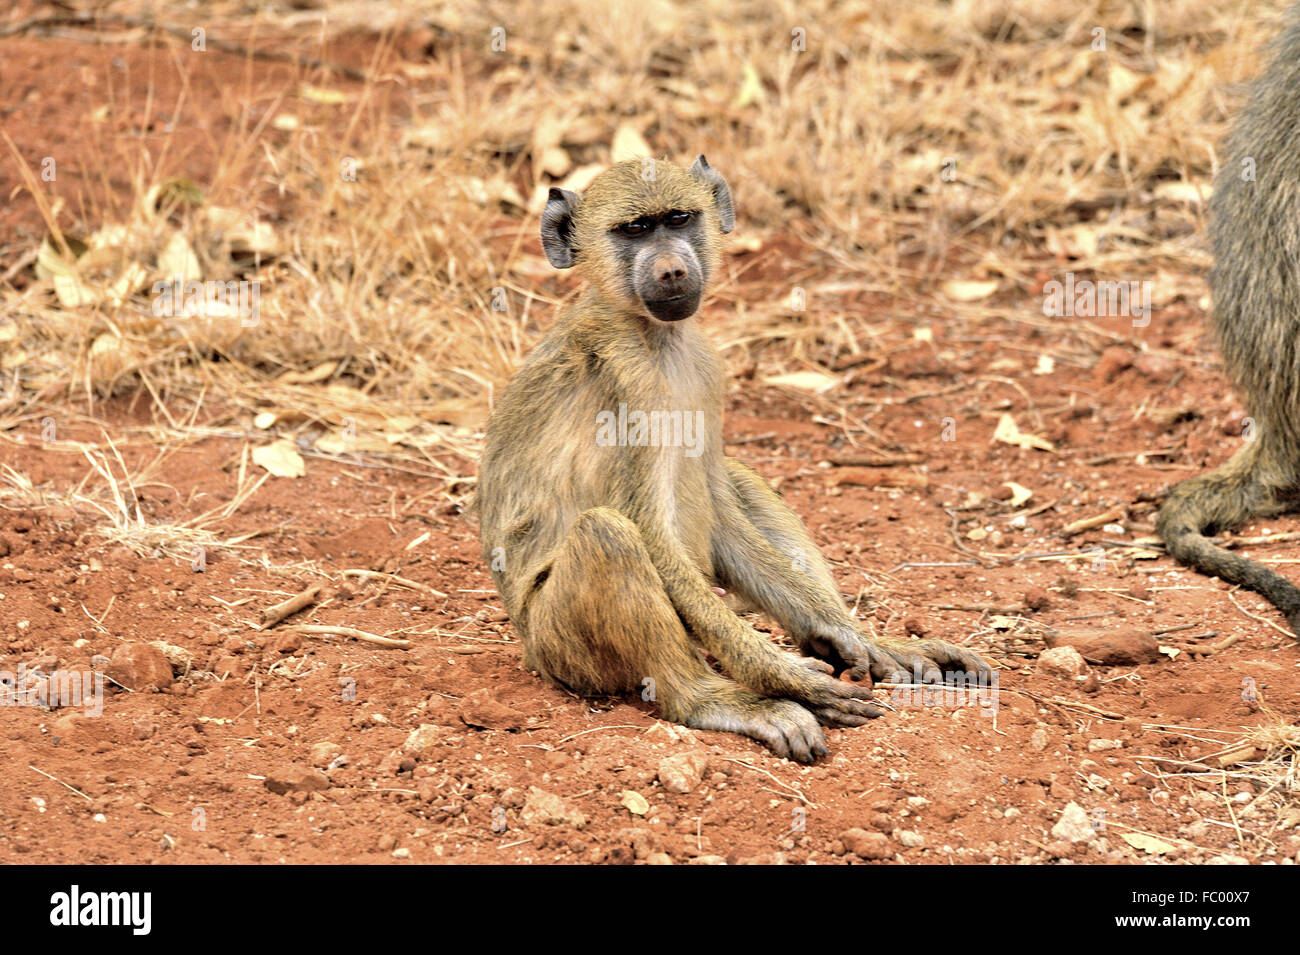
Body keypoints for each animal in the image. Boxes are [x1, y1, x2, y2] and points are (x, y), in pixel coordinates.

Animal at [476, 155, 989, 762]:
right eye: (634, 230)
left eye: (678, 219)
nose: (673, 271)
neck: (652, 333)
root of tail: (529, 649)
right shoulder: (628, 382)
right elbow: (654, 539)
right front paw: (784, 678)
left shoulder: (705, 371)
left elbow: (722, 510)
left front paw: (855, 638)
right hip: (560, 647)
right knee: (609, 534)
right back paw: (711, 699)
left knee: (736, 482)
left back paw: (843, 642)